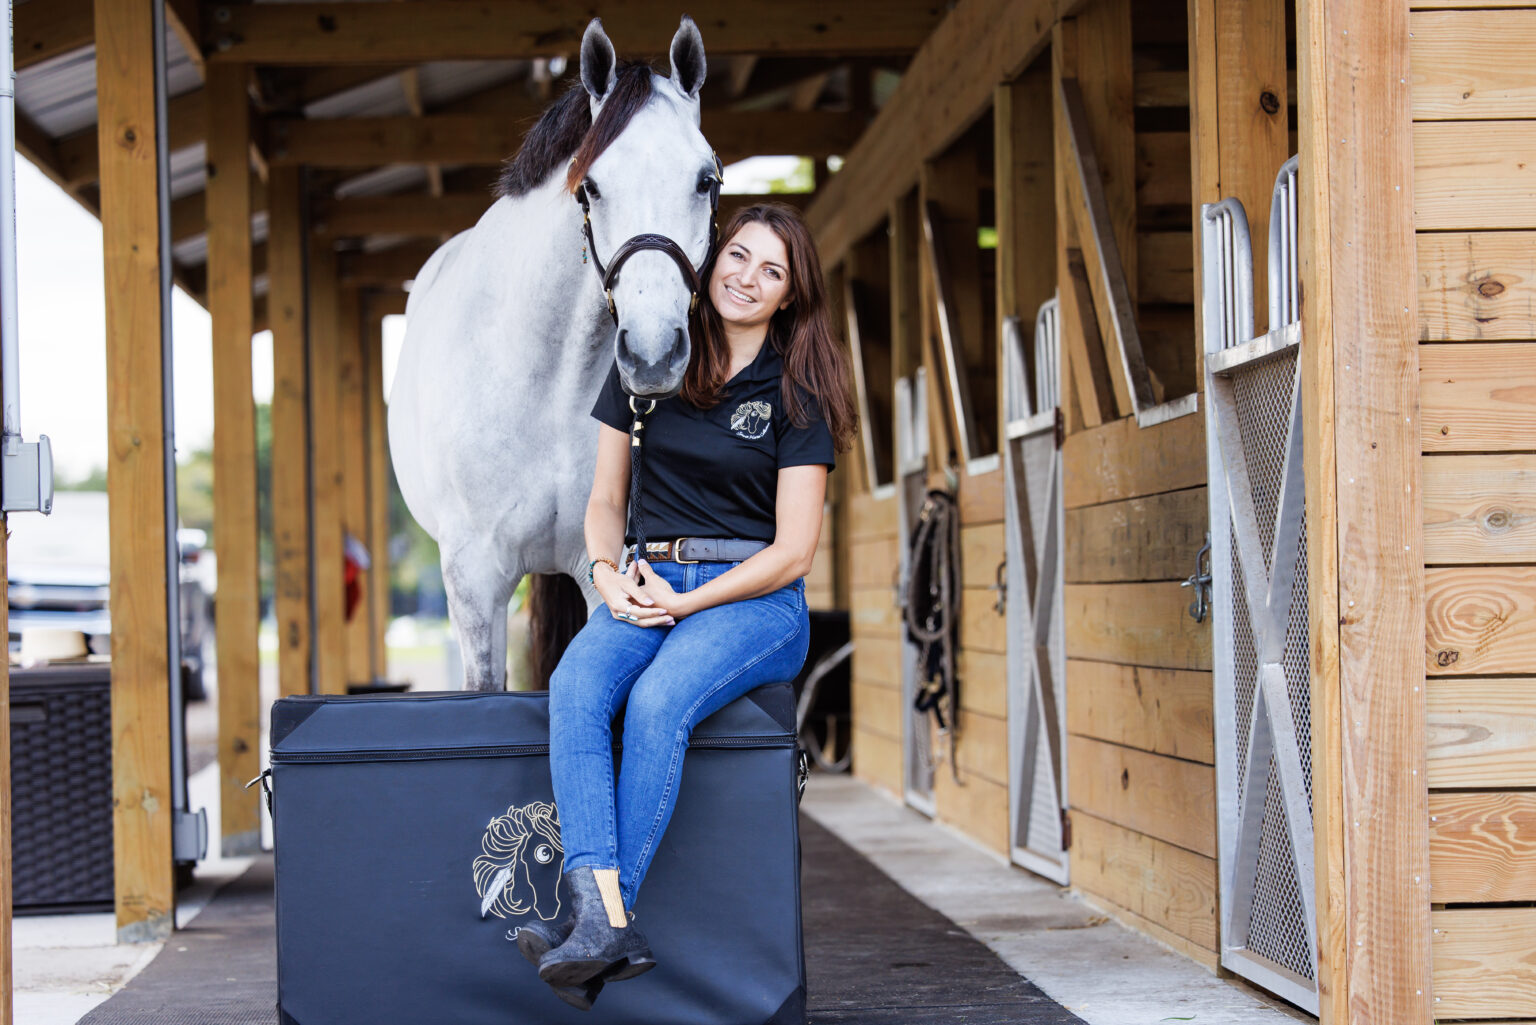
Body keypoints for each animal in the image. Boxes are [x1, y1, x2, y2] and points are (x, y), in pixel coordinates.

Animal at [388, 17, 717, 690]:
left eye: (706, 179)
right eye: (590, 186)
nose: (652, 355)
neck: (545, 389)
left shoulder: (604, 568)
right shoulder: (474, 580)